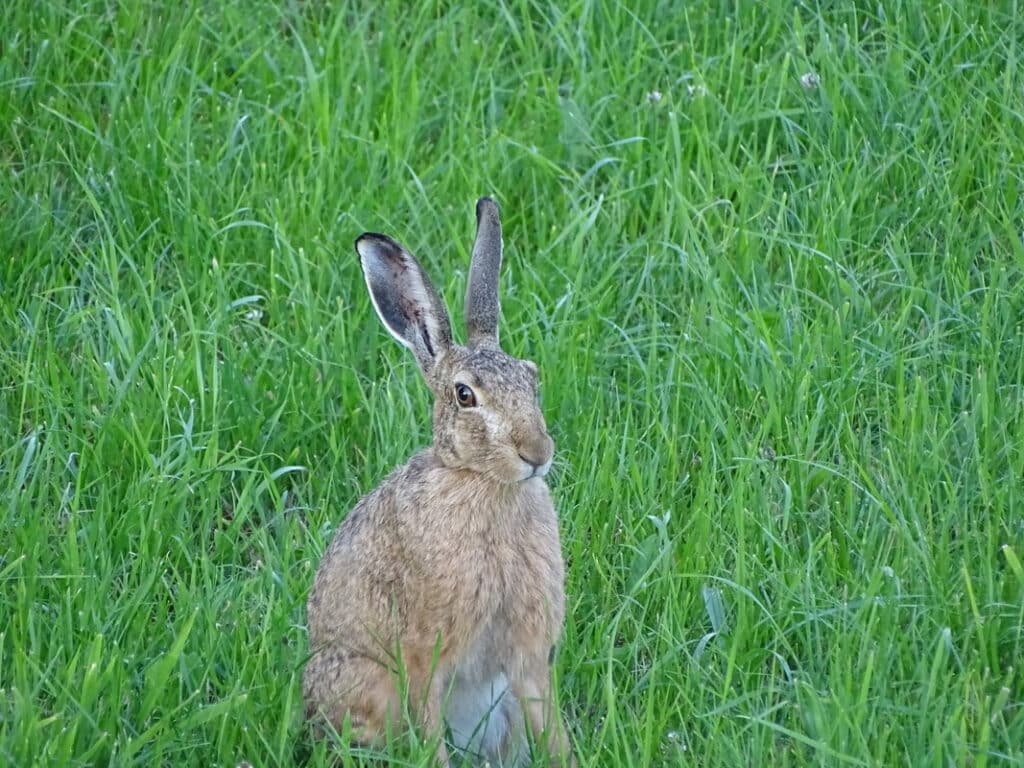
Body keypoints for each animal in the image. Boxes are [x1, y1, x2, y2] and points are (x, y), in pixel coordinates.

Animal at [303, 197, 575, 767]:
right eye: (464, 395)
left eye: (532, 377)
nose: (537, 454)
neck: (481, 481)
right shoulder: (423, 654)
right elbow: (428, 727)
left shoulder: (529, 655)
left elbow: (549, 721)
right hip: (368, 680)